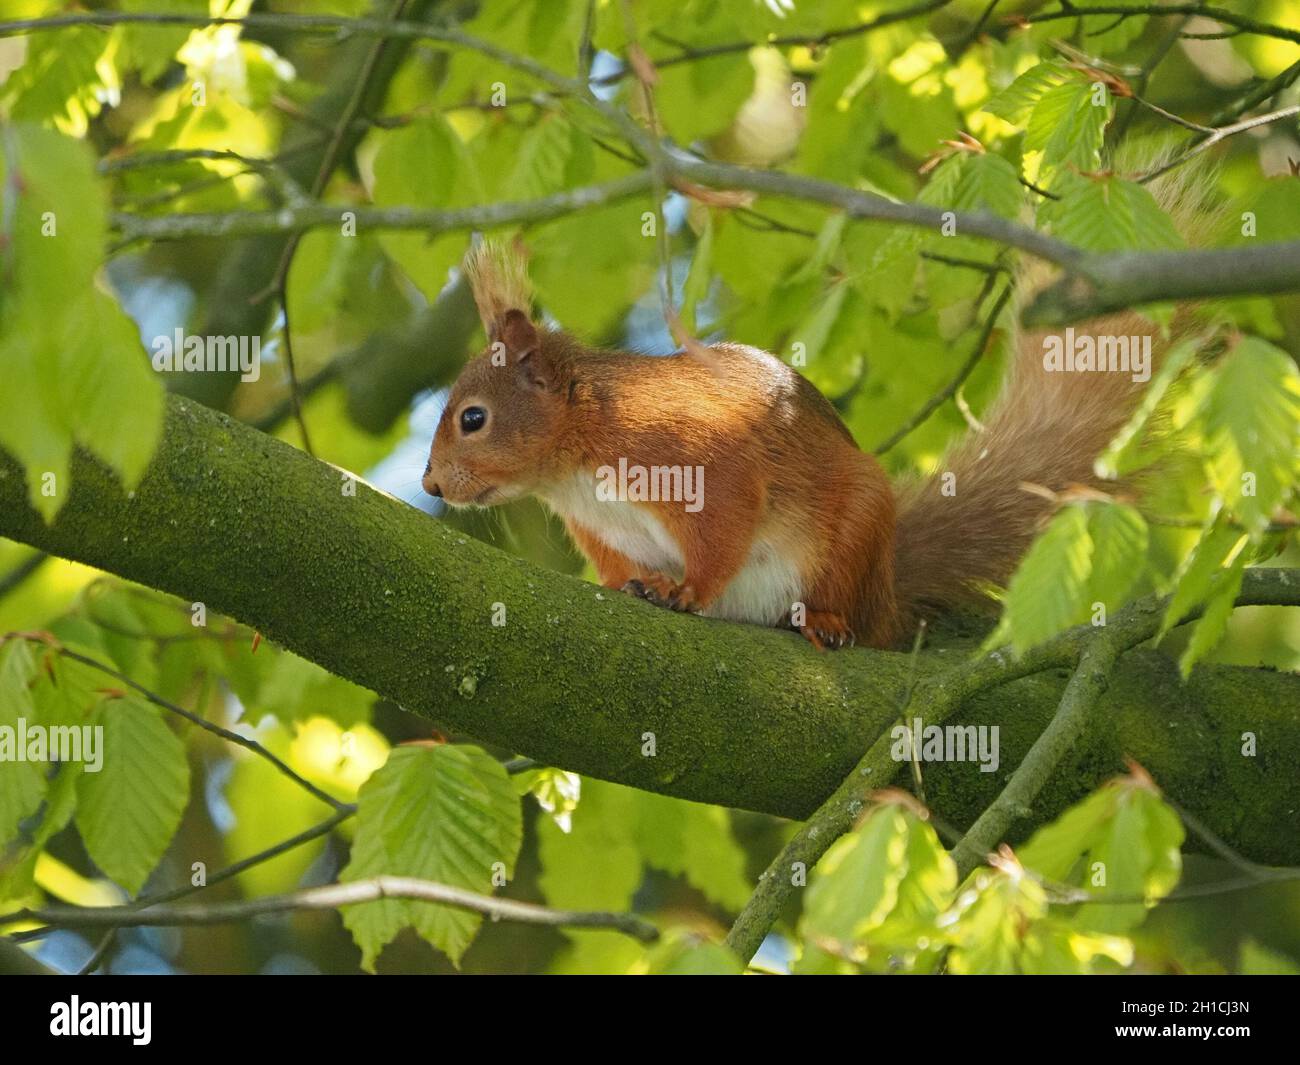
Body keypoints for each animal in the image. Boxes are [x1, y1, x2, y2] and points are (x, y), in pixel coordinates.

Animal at [423, 238, 1172, 651]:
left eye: (473, 419)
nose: (430, 484)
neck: (574, 461)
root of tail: (887, 590)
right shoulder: (601, 530)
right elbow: (619, 567)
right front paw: (642, 584)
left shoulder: (693, 457)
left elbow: (723, 525)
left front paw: (687, 590)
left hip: (851, 536)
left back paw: (828, 620)